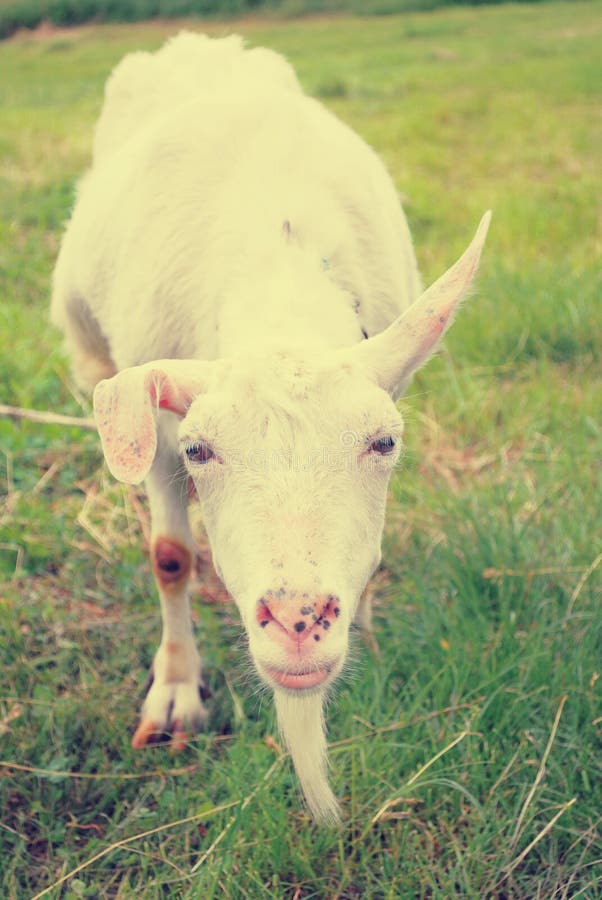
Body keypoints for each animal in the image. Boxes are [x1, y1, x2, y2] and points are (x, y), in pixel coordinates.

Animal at [51, 32, 490, 823]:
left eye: (385, 442)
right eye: (199, 449)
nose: (297, 621)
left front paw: (364, 626)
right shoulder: (157, 435)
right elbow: (170, 555)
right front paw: (175, 693)